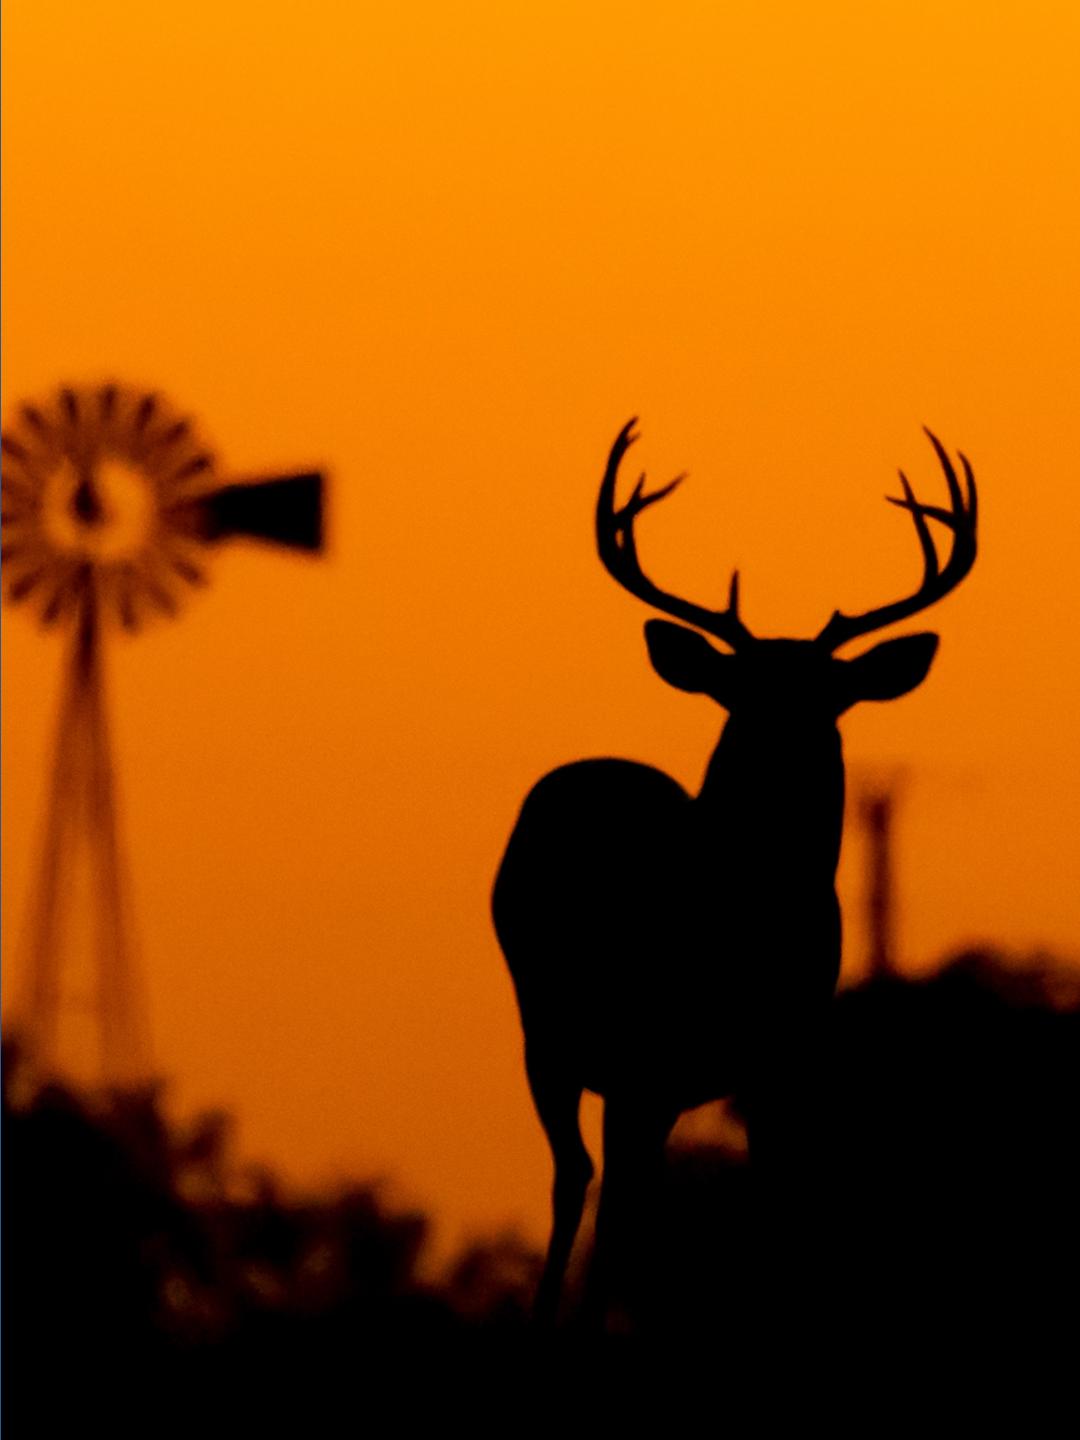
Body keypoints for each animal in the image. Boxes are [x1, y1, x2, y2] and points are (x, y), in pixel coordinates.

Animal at [491, 419, 977, 1327]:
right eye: (740, 690)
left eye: (830, 693)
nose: (783, 746)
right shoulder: (643, 1051)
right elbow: (620, 1203)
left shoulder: (778, 1056)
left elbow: (770, 1191)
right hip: (551, 1031)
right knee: (580, 1179)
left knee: (619, 1185)